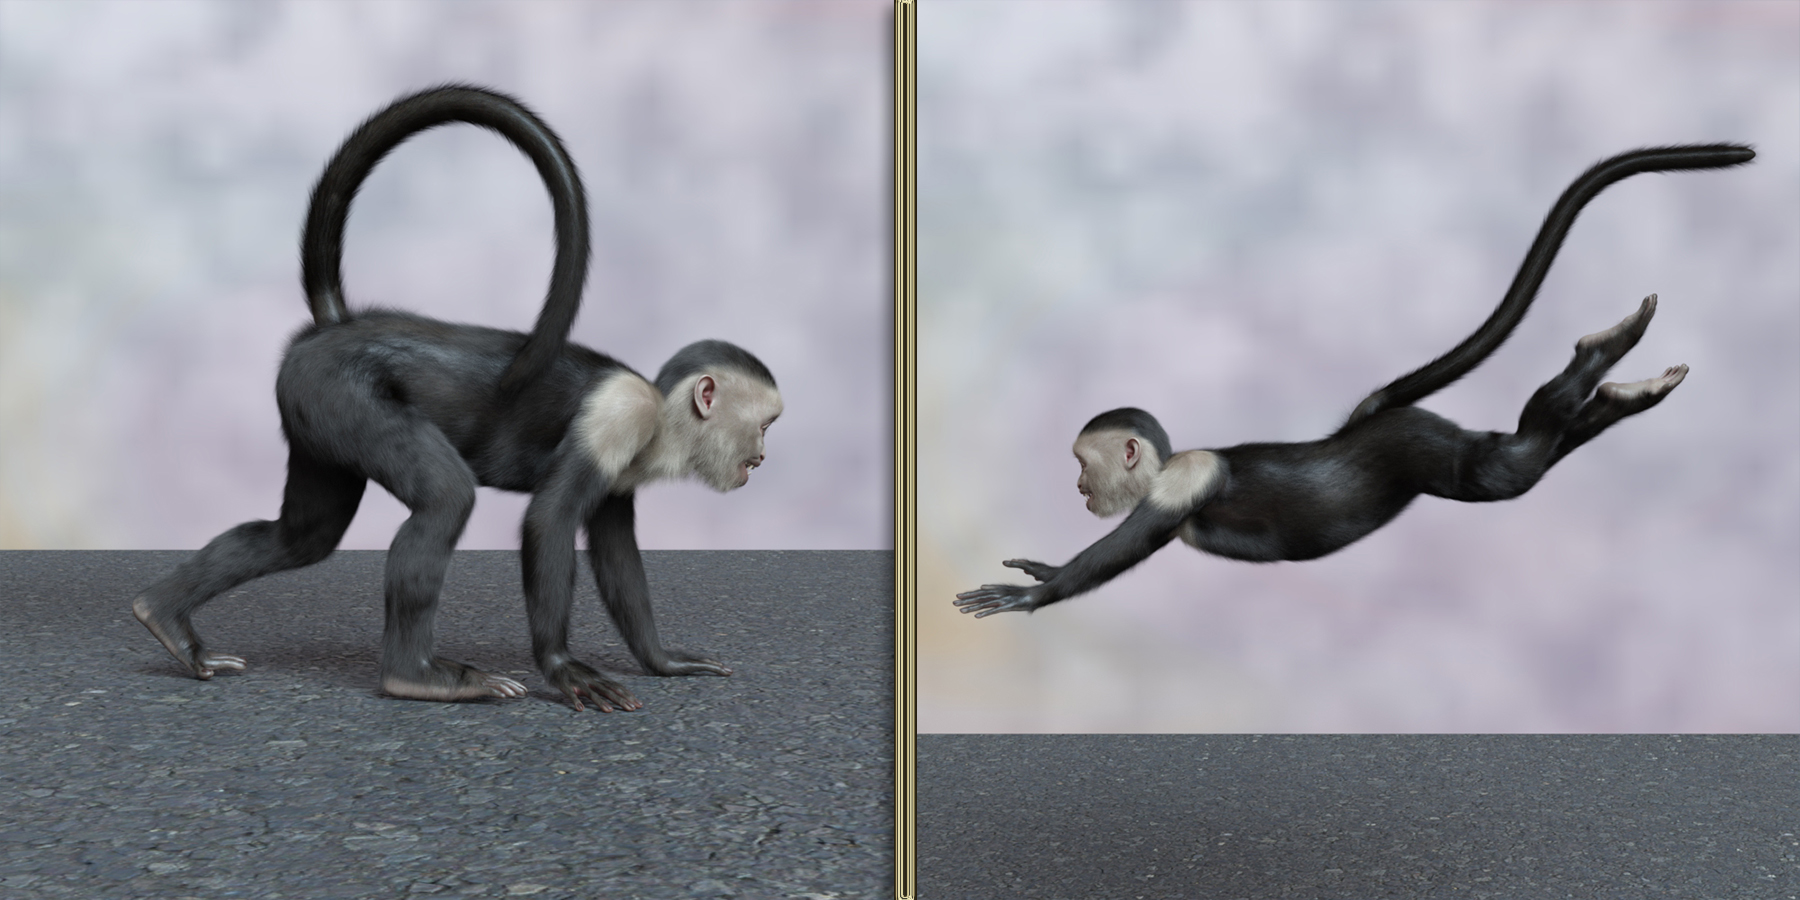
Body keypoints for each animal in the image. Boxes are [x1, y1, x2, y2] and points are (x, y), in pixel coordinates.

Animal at [132, 85, 782, 712]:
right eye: (766, 425)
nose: (762, 455)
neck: (662, 418)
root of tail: (336, 330)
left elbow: (615, 549)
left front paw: (660, 660)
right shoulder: (622, 413)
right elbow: (548, 521)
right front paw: (562, 666)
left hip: (313, 417)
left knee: (304, 535)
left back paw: (164, 615)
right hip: (336, 393)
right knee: (443, 496)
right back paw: (411, 676)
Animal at [955, 144, 1753, 618]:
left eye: (1082, 464)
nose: (1077, 488)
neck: (1166, 467)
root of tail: (1365, 421)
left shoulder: (1186, 481)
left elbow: (1121, 549)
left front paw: (1034, 593)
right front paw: (1041, 569)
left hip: (1418, 444)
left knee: (1501, 468)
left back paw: (1603, 355)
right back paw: (1626, 392)